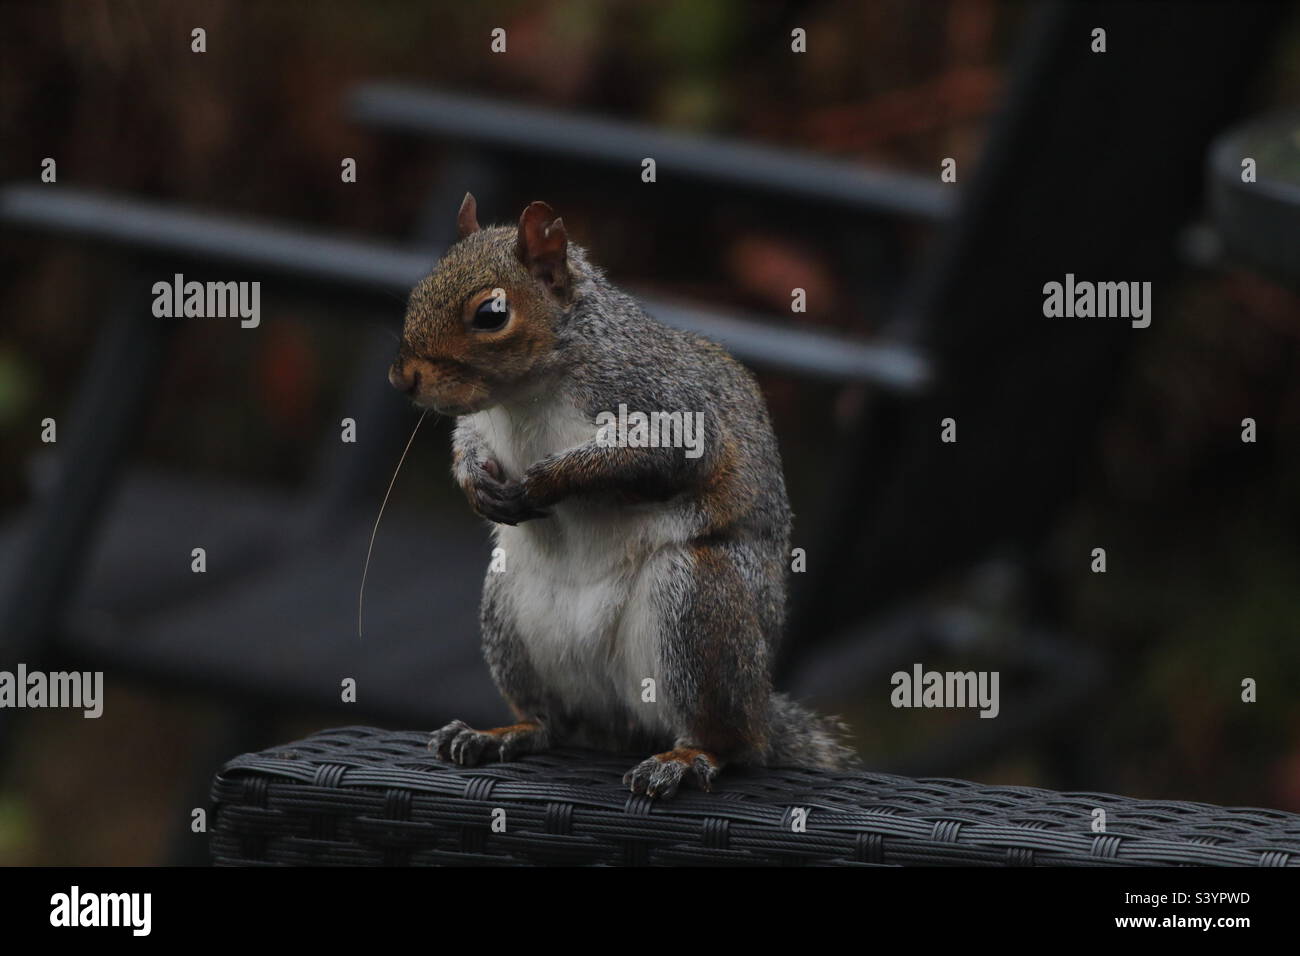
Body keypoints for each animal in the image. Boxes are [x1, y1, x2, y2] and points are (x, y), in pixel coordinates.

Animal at [388, 194, 855, 798]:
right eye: (422, 287)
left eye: (492, 314)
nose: (403, 378)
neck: (526, 397)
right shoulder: (483, 422)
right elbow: (467, 440)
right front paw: (477, 483)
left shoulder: (662, 403)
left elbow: (656, 458)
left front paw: (548, 479)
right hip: (509, 613)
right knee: (554, 723)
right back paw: (505, 732)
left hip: (698, 604)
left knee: (732, 741)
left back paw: (688, 756)